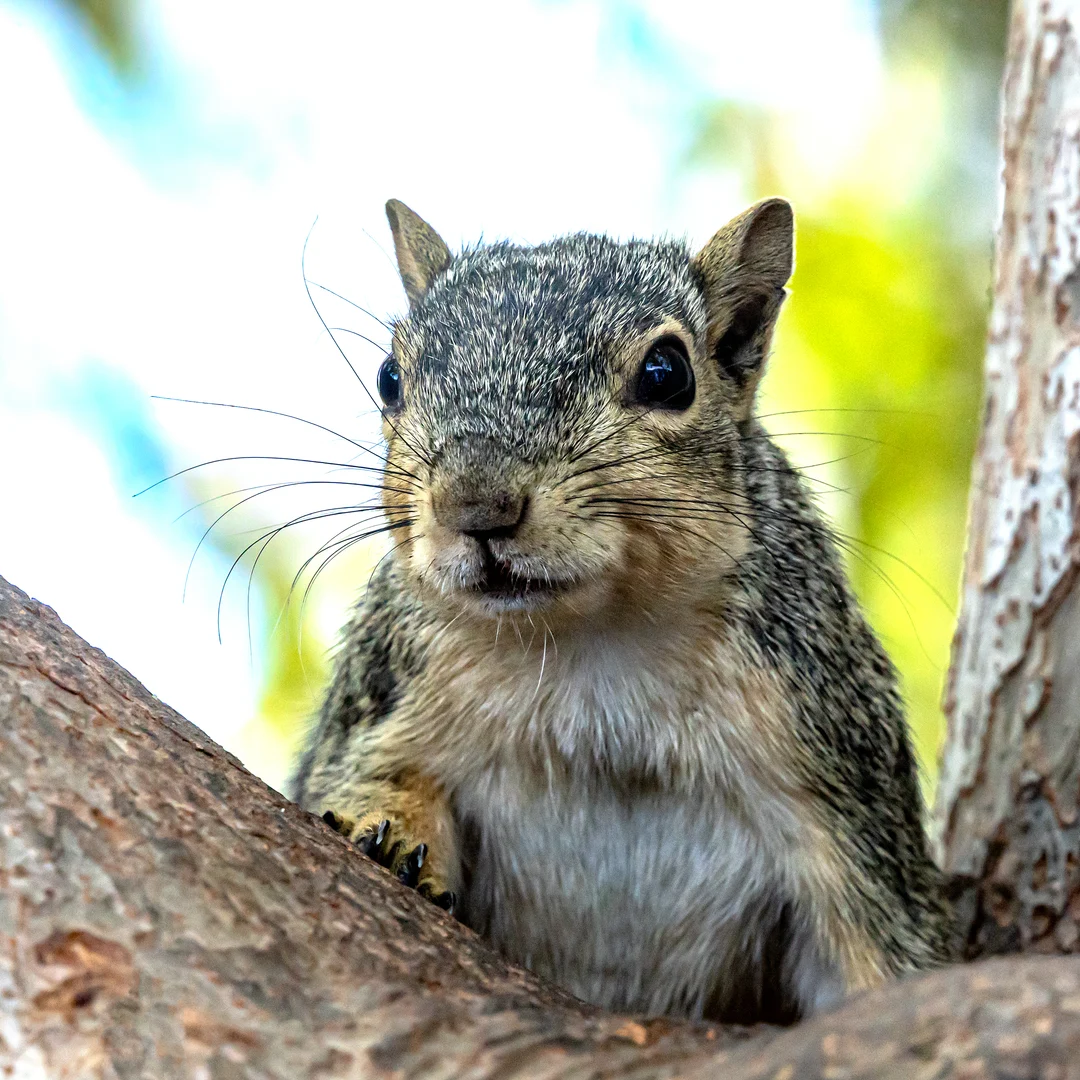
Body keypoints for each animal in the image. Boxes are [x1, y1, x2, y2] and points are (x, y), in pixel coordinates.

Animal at [290, 197, 953, 1024]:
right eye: (389, 378)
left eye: (667, 374)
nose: (477, 505)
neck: (591, 643)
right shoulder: (386, 688)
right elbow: (363, 773)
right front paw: (387, 829)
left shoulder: (843, 789)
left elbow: (880, 947)